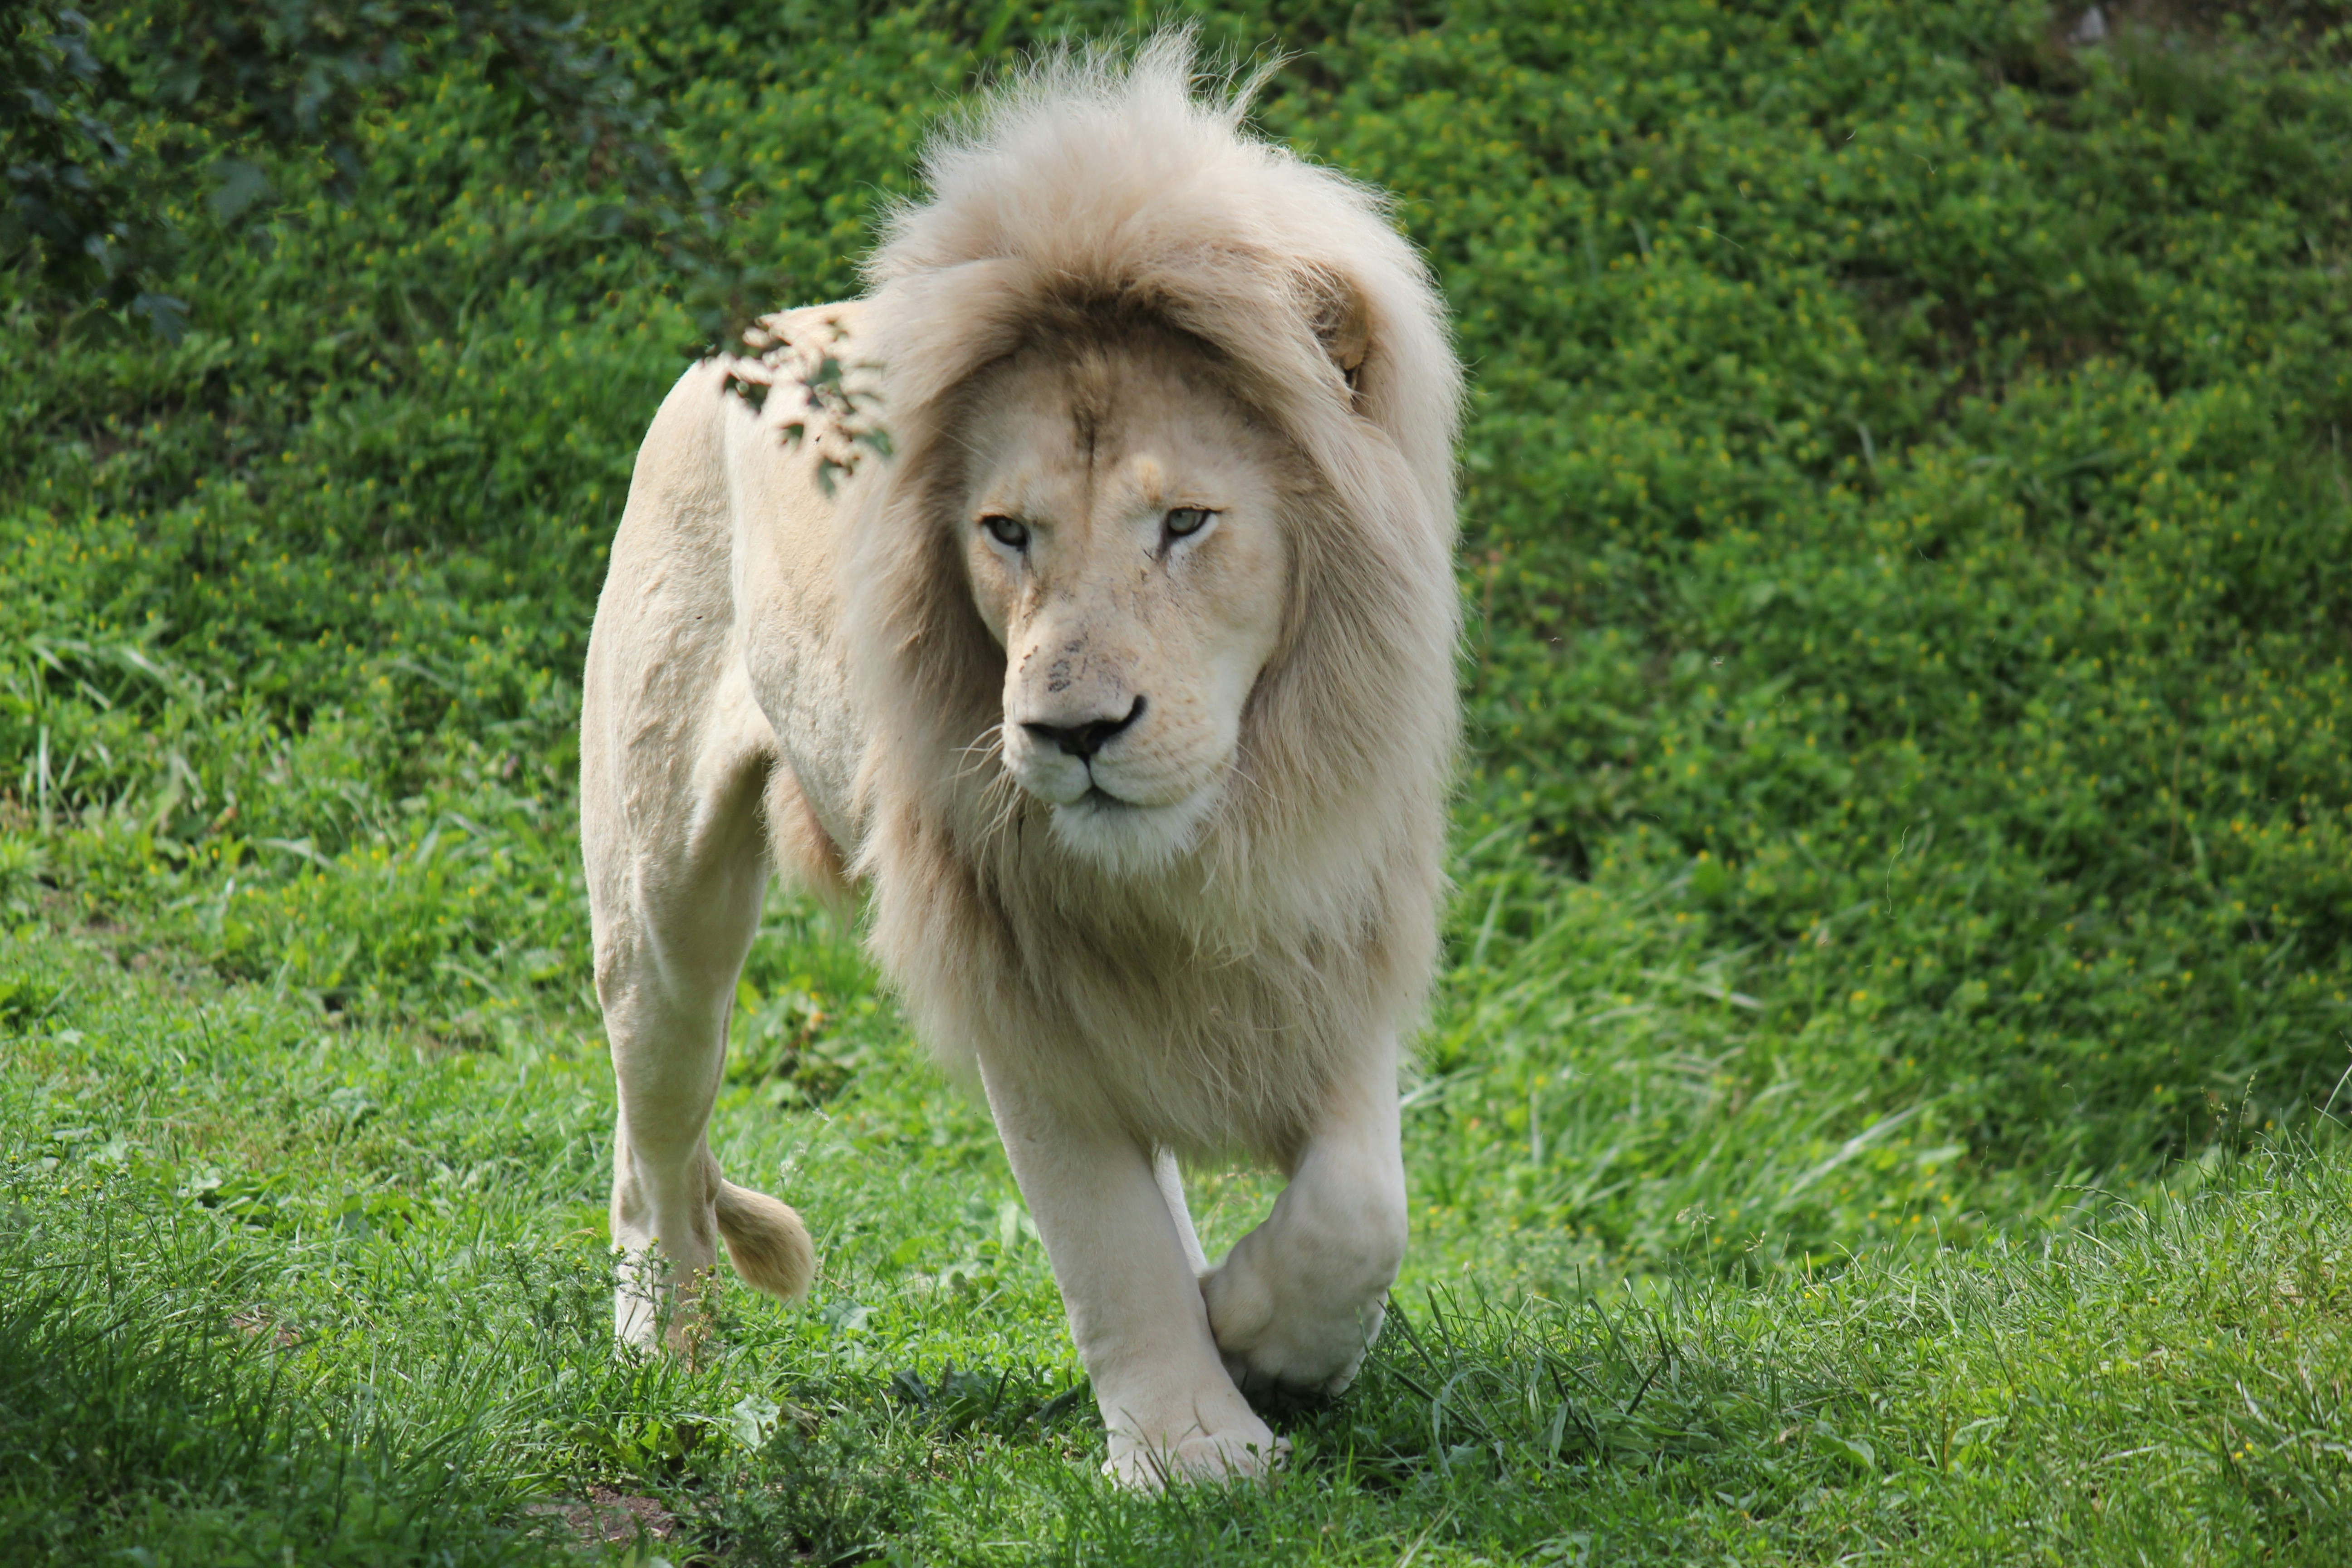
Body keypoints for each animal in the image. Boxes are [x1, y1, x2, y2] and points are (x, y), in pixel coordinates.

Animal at [578, 36, 1461, 1487]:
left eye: (1186, 522)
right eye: (1006, 531)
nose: (1073, 734)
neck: (1200, 849)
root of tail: (742, 343)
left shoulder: (1329, 928)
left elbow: (1358, 1206)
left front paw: (1261, 1334)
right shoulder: (1020, 978)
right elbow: (1107, 1241)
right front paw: (1195, 1448)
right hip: (659, 908)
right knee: (655, 1151)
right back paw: (661, 1357)